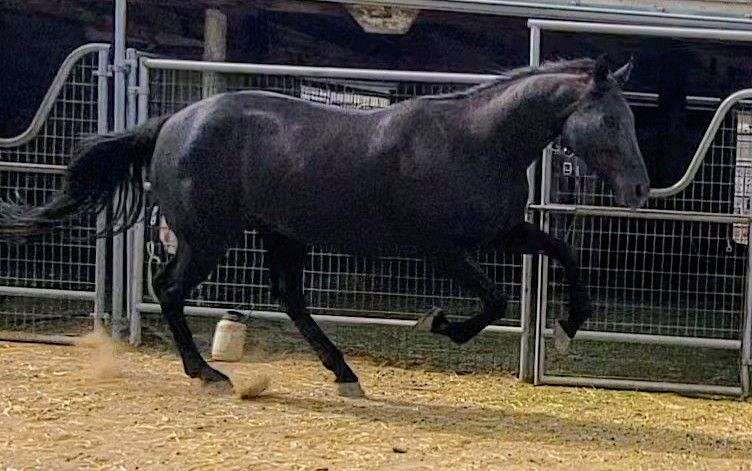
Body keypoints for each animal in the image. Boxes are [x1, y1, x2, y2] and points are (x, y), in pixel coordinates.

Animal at [0, 55, 649, 398]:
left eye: (629, 120)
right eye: (611, 122)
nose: (640, 191)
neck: (474, 140)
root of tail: (171, 123)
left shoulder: (504, 232)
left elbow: (564, 253)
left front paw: (566, 330)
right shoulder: (444, 249)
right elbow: (494, 301)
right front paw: (438, 323)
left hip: (280, 235)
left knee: (288, 299)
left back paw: (344, 375)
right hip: (210, 237)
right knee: (170, 290)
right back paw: (210, 374)